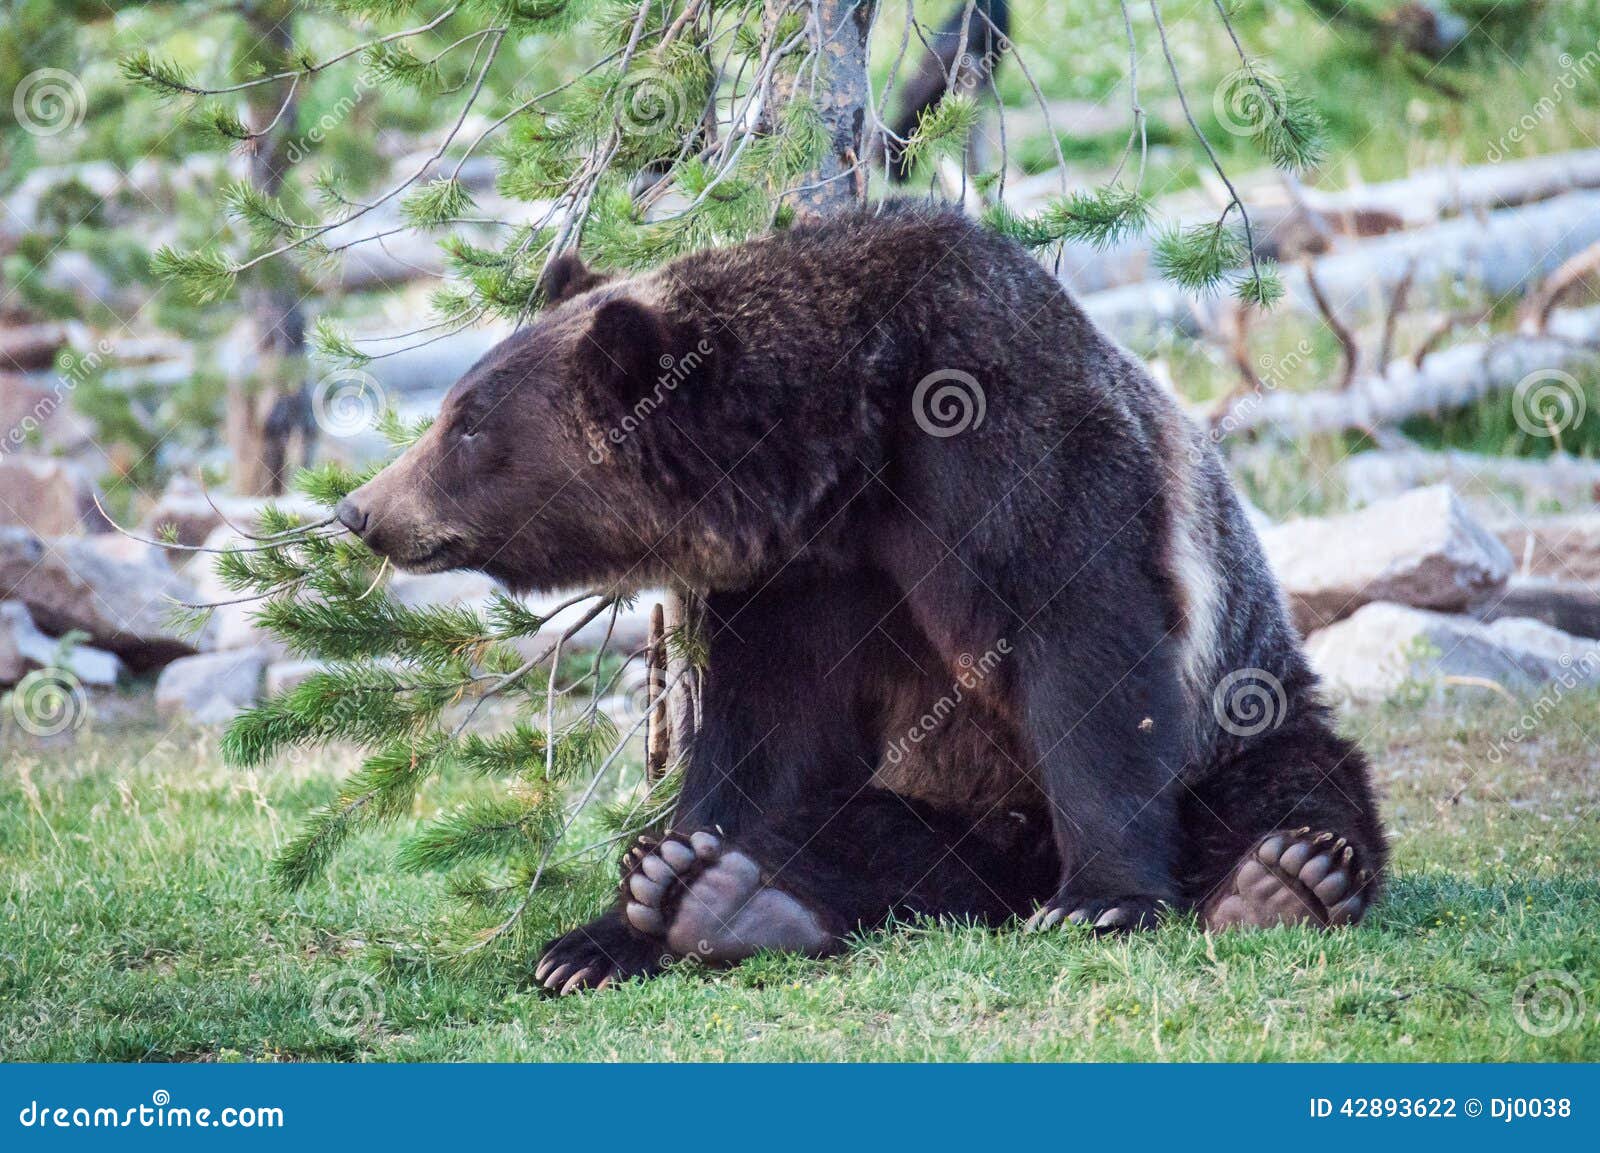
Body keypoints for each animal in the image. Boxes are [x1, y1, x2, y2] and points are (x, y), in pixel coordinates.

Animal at [336, 203, 1388, 995]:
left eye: (466, 425)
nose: (360, 508)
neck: (852, 451)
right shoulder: (793, 580)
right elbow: (761, 744)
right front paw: (611, 922)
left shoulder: (1009, 438)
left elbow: (1082, 639)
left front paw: (1102, 896)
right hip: (941, 804)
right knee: (857, 839)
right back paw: (696, 899)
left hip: (1241, 700)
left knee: (1295, 777)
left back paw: (1286, 877)